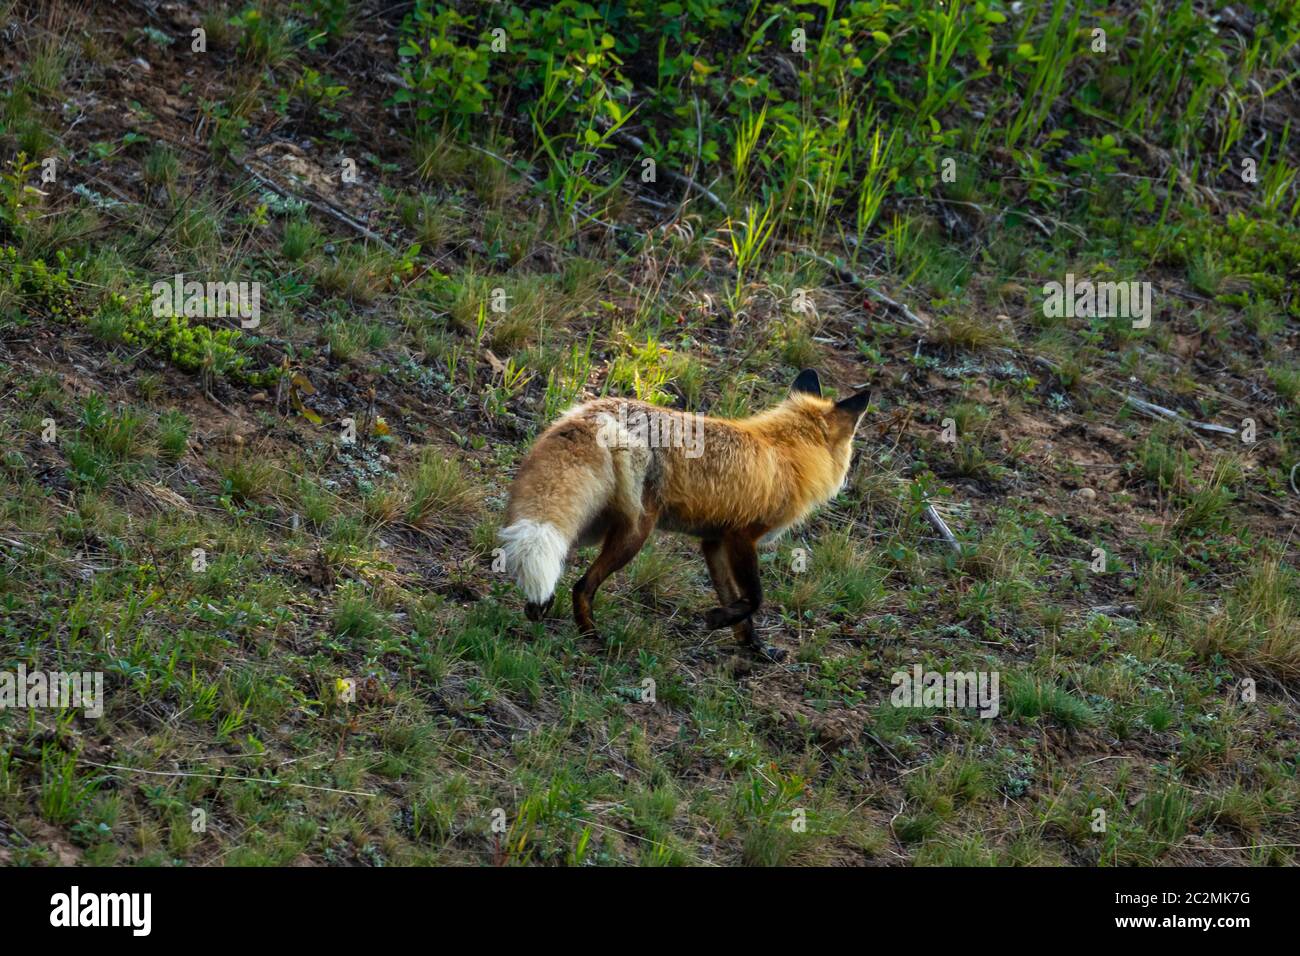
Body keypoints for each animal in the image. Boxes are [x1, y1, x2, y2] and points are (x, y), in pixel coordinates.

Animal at [497, 369, 870, 657]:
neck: (786, 454)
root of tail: (596, 411)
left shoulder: (714, 542)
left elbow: (740, 608)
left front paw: (753, 647)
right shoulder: (742, 537)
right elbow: (754, 599)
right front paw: (718, 620)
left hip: (590, 526)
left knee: (549, 561)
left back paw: (539, 610)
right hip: (634, 533)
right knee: (581, 585)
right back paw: (591, 635)